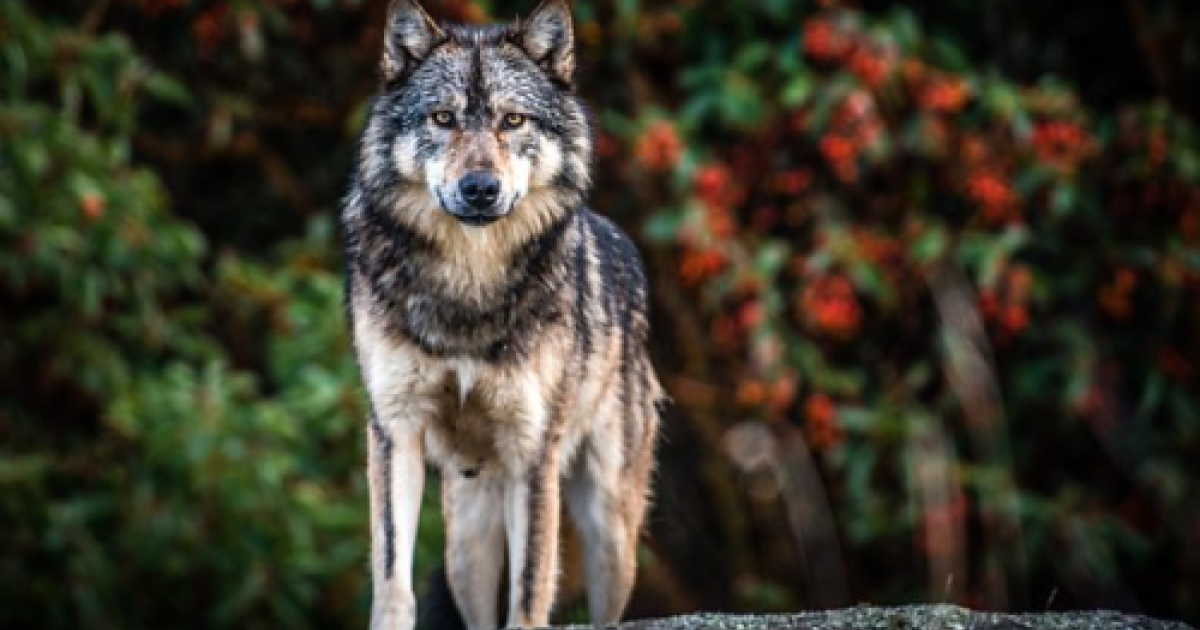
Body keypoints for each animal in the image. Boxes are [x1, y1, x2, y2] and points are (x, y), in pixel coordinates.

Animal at [340, 1, 664, 629]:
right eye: (443, 118)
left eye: (512, 121)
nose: (480, 189)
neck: (471, 284)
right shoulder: (395, 428)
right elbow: (392, 577)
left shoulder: (533, 448)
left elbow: (531, 587)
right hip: (467, 545)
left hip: (609, 531)